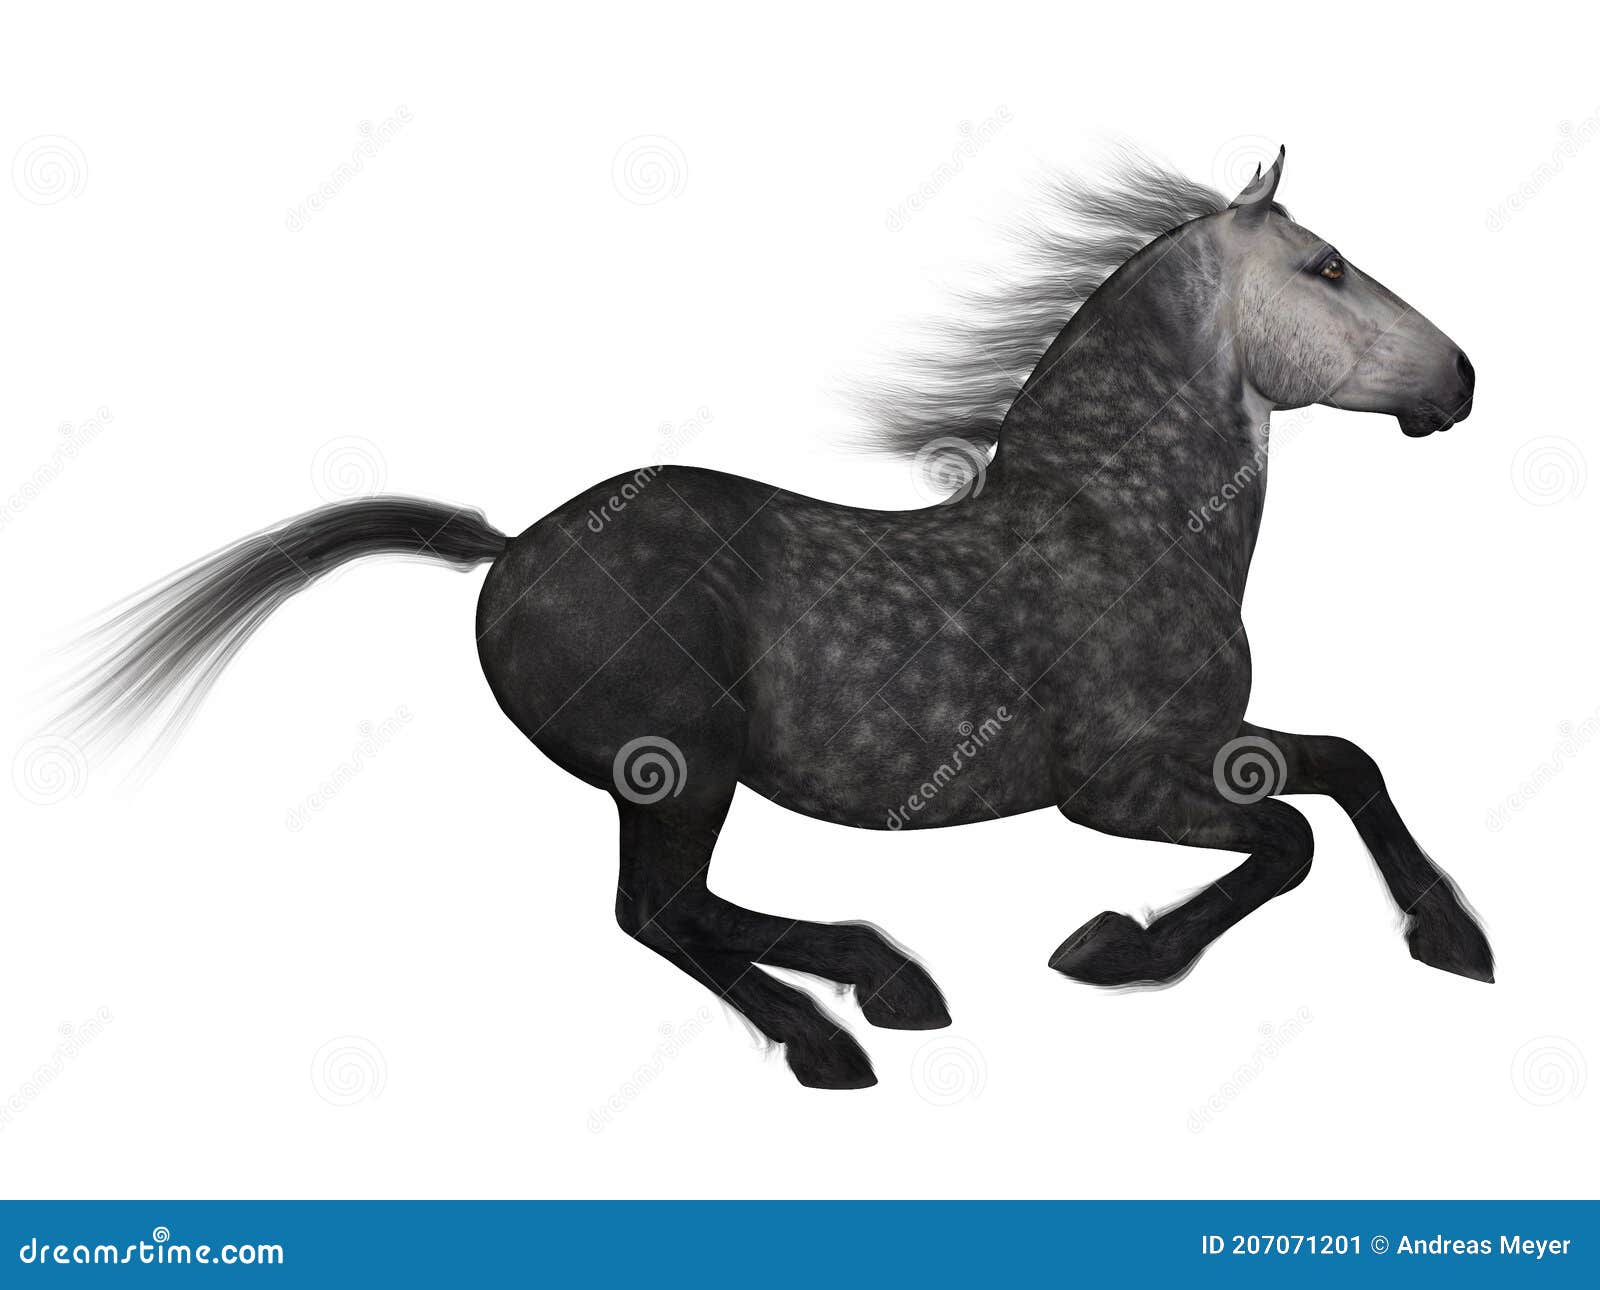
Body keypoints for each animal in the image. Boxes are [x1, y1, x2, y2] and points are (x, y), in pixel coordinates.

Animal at [62, 145, 1491, 1089]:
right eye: (1325, 266)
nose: (1464, 381)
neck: (1121, 519)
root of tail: (509, 547)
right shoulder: (1111, 784)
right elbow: (1288, 842)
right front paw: (1106, 950)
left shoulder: (1212, 741)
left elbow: (1348, 768)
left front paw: (1456, 940)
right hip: (679, 768)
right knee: (656, 912)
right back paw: (850, 1020)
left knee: (678, 910)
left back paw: (876, 991)